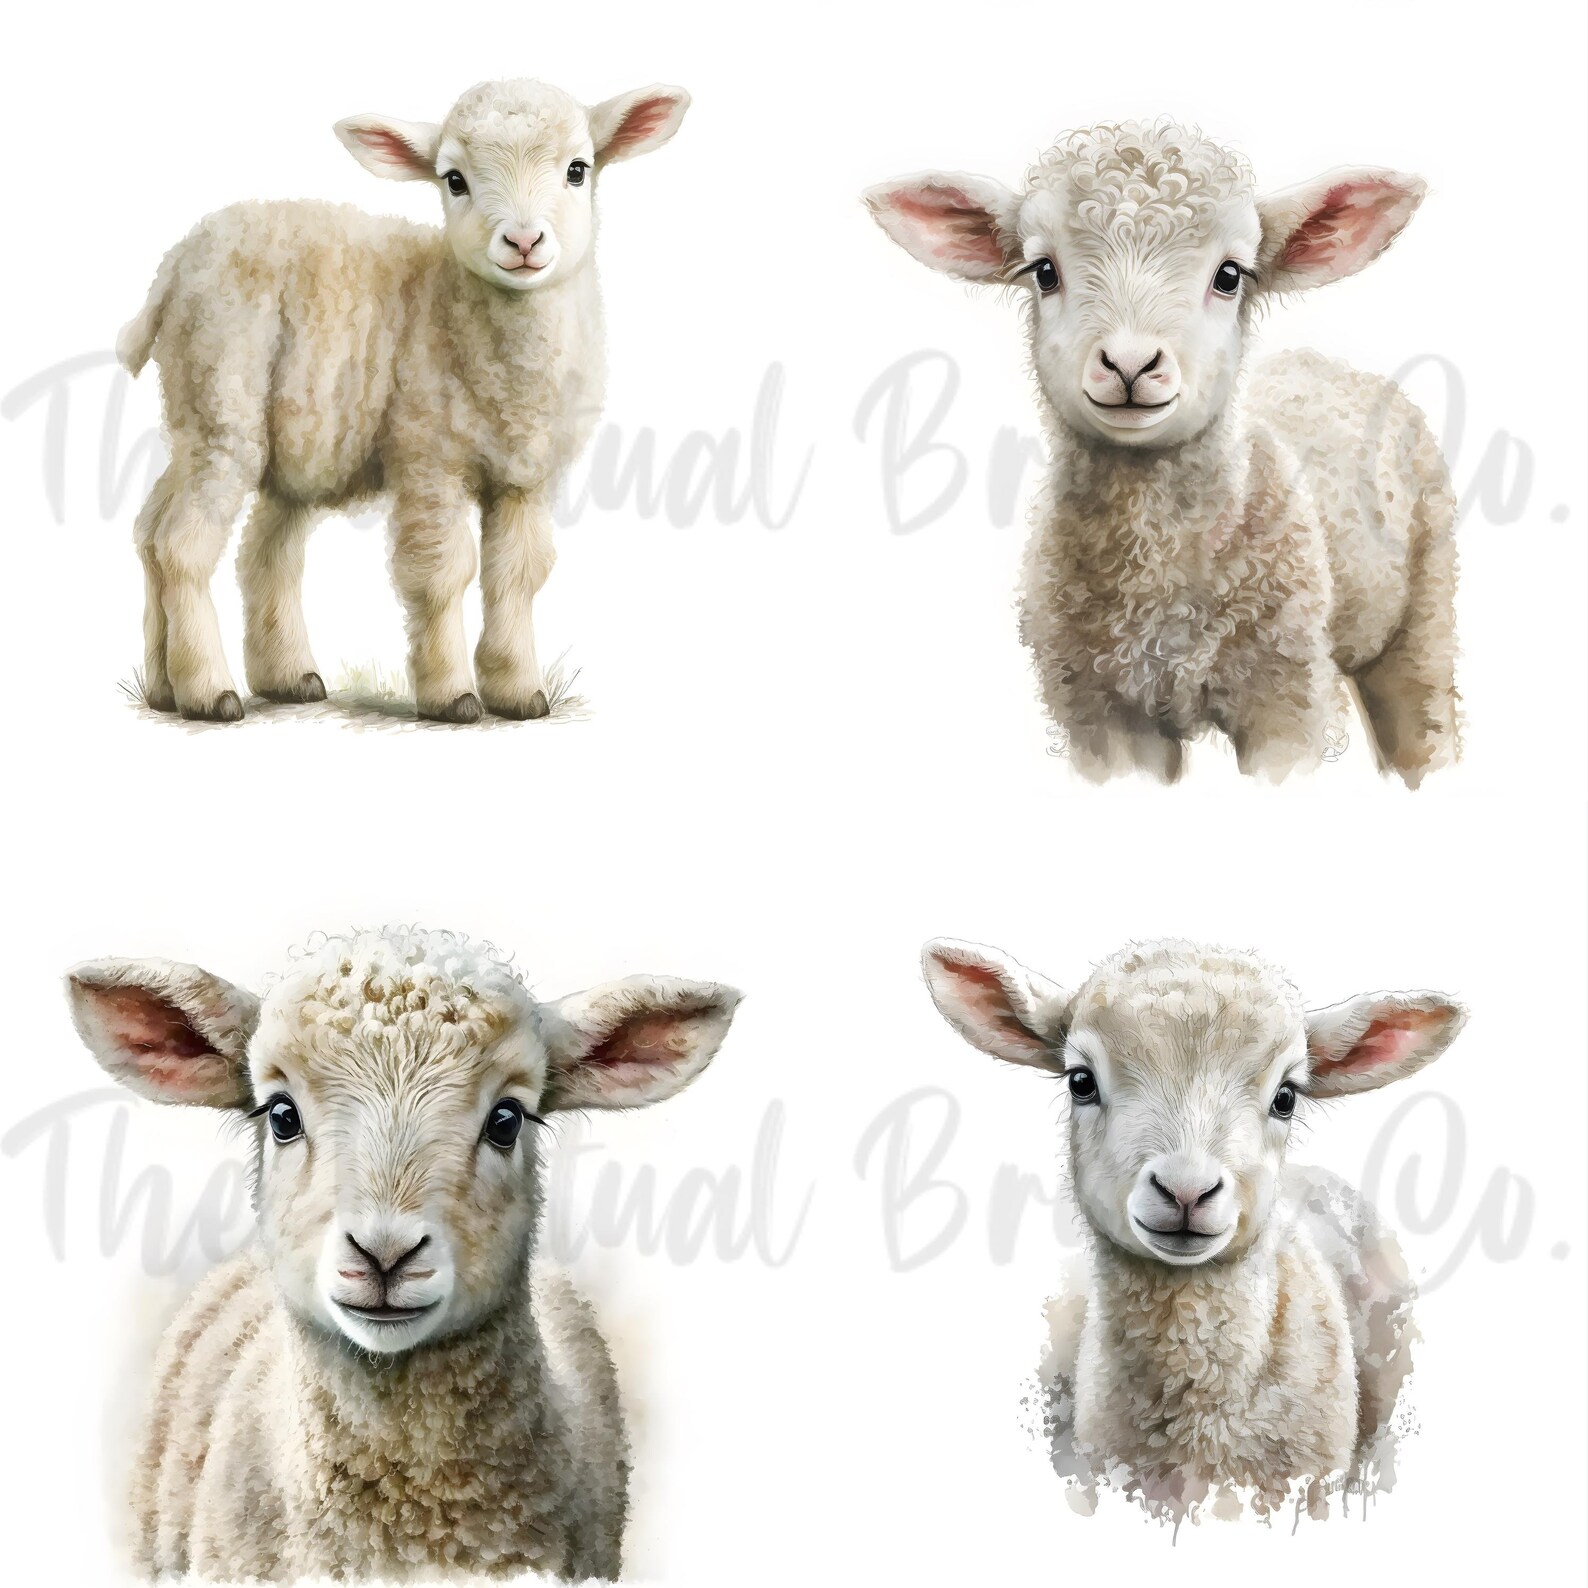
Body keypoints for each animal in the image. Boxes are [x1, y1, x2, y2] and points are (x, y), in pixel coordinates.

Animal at [120, 78, 689, 723]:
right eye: (454, 180)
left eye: (577, 169)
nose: (523, 241)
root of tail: (176, 264)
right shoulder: (427, 455)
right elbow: (442, 572)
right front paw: (452, 695)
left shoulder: (525, 475)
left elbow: (518, 575)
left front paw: (518, 692)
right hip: (221, 396)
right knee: (182, 545)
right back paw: (206, 690)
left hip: (235, 426)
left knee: (210, 543)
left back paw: (223, 683)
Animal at [866, 122, 1459, 785]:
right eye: (1043, 271)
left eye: (1229, 276)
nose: (1129, 364)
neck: (1157, 581)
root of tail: (1326, 361)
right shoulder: (1098, 712)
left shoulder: (1286, 699)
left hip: (1424, 607)